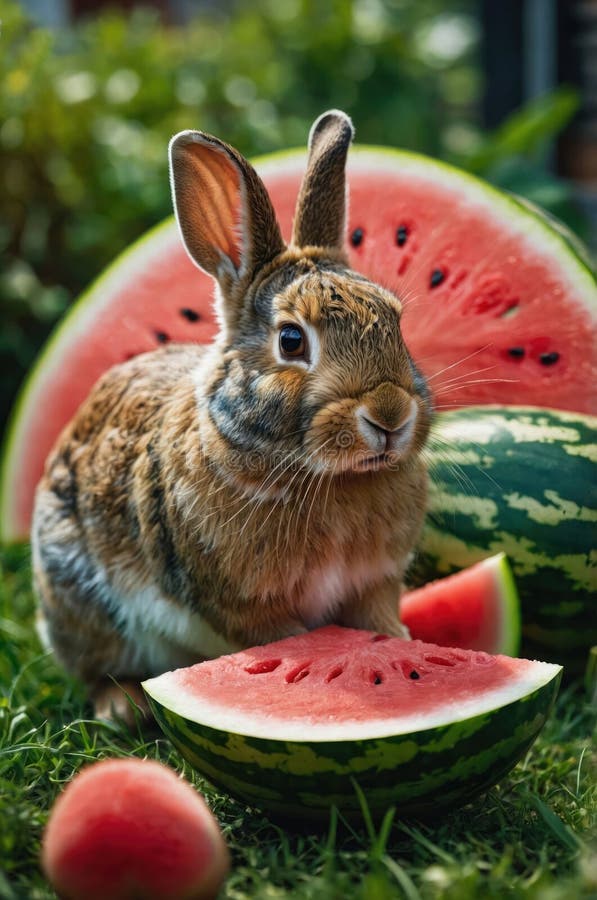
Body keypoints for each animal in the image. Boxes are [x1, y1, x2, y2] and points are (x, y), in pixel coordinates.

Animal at [31, 110, 433, 723]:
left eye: (396, 322)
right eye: (291, 340)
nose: (389, 415)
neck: (327, 477)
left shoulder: (375, 584)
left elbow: (379, 623)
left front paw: (405, 652)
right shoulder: (245, 603)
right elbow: (288, 641)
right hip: (81, 598)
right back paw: (124, 705)